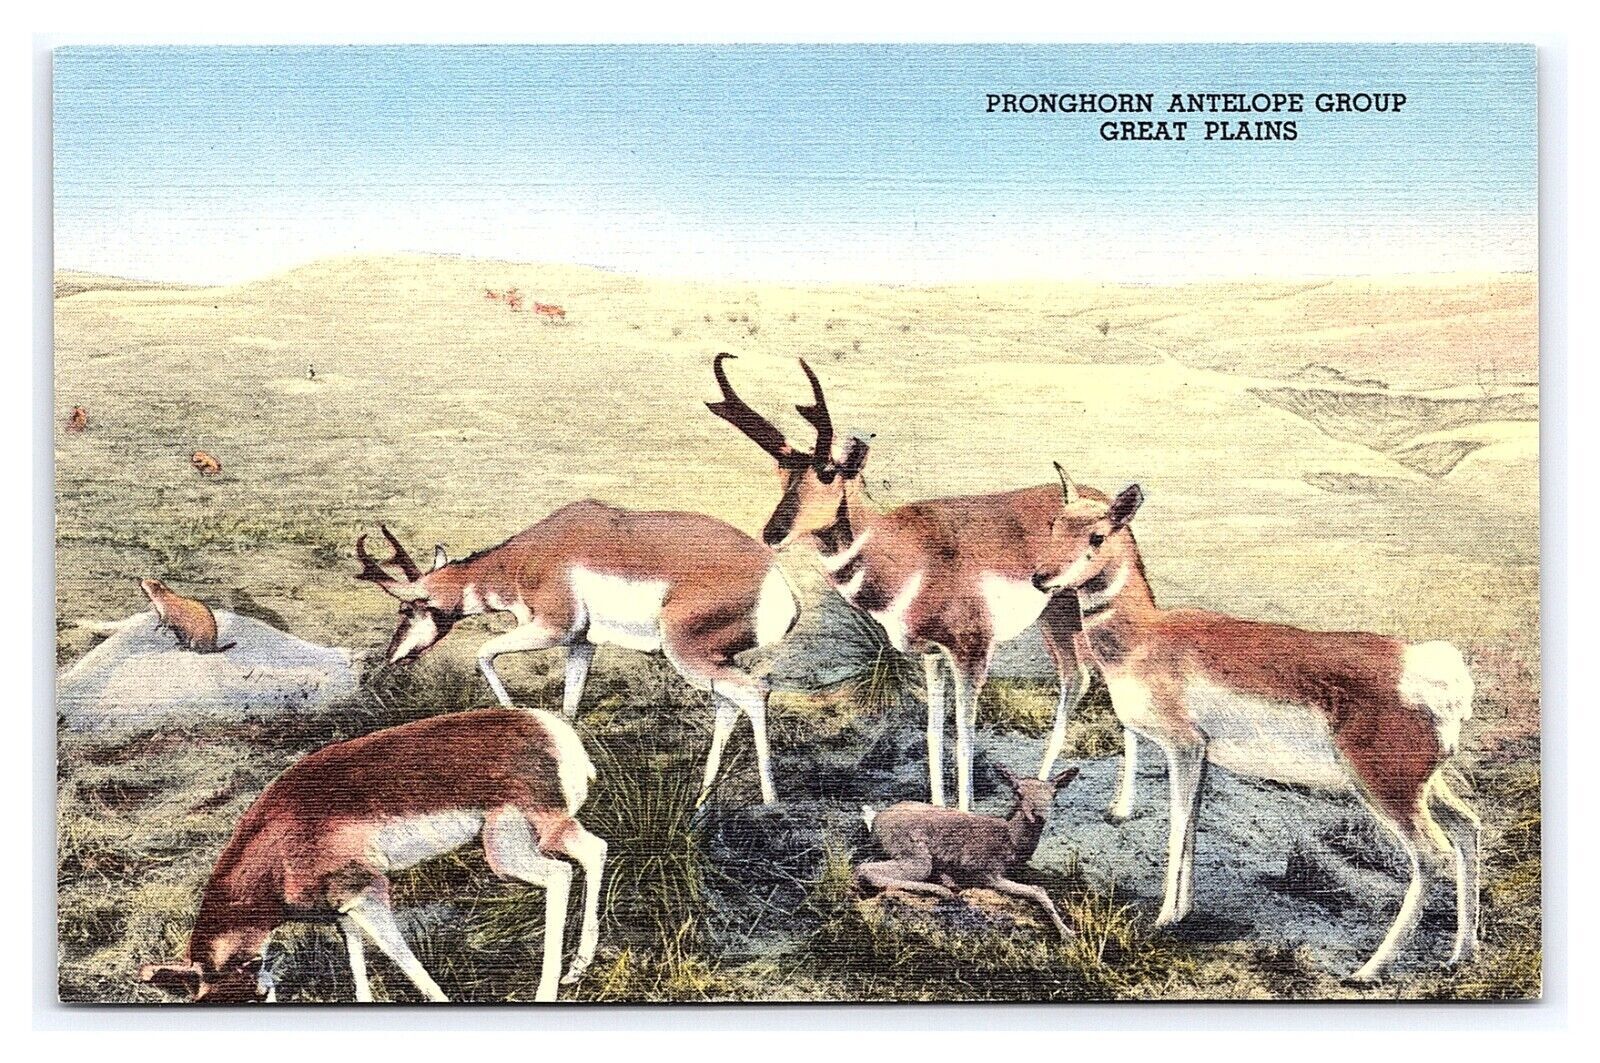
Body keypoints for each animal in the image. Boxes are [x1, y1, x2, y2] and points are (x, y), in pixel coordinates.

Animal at [138, 708, 605, 1003]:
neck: (276, 835)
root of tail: (557, 733)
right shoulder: (343, 912)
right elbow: (357, 962)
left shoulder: (368, 893)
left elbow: (400, 956)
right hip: (532, 839)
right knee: (594, 851)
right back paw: (578, 967)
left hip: (511, 851)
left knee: (563, 873)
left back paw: (550, 988)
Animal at [354, 503, 799, 805]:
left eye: (407, 608)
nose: (390, 656)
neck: (528, 556)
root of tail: (775, 576)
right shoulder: (581, 644)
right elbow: (569, 706)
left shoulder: (554, 629)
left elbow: (483, 653)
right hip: (713, 661)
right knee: (728, 704)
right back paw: (701, 802)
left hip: (686, 655)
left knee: (754, 692)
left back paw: (769, 802)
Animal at [706, 353, 1131, 813]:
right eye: (782, 475)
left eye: (828, 473)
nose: (771, 534)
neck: (910, 551)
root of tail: (1098, 501)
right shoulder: (932, 655)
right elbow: (933, 731)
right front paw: (939, 809)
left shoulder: (971, 652)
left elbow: (963, 735)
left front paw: (963, 815)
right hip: (1056, 616)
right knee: (1076, 678)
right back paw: (1042, 782)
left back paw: (1117, 808)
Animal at [1030, 468, 1480, 980]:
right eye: (1054, 525)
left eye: (1097, 535)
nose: (1040, 578)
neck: (1147, 635)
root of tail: (1434, 669)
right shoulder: (1203, 757)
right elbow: (1193, 827)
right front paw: (1182, 912)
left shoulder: (1182, 748)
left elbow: (1177, 825)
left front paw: (1163, 918)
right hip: (1424, 786)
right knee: (1468, 828)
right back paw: (1461, 954)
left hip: (1387, 792)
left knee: (1432, 855)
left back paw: (1368, 970)